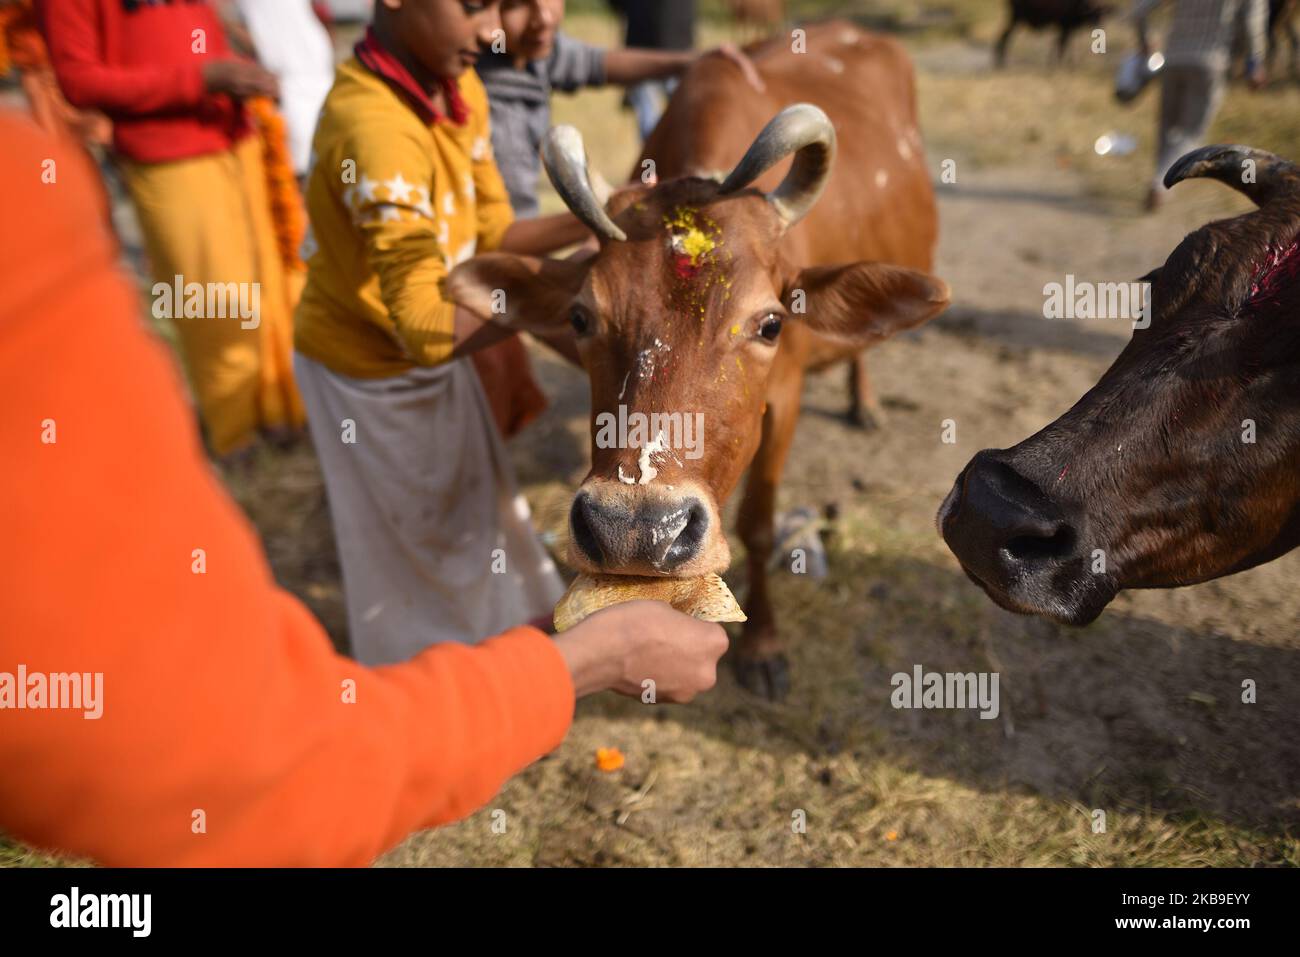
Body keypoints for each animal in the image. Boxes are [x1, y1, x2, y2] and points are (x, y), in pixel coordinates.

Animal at [450, 21, 948, 698]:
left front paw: (762, 646)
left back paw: (864, 400)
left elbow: (760, 525)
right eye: (580, 318)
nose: (636, 531)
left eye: (771, 324)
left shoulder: (783, 400)